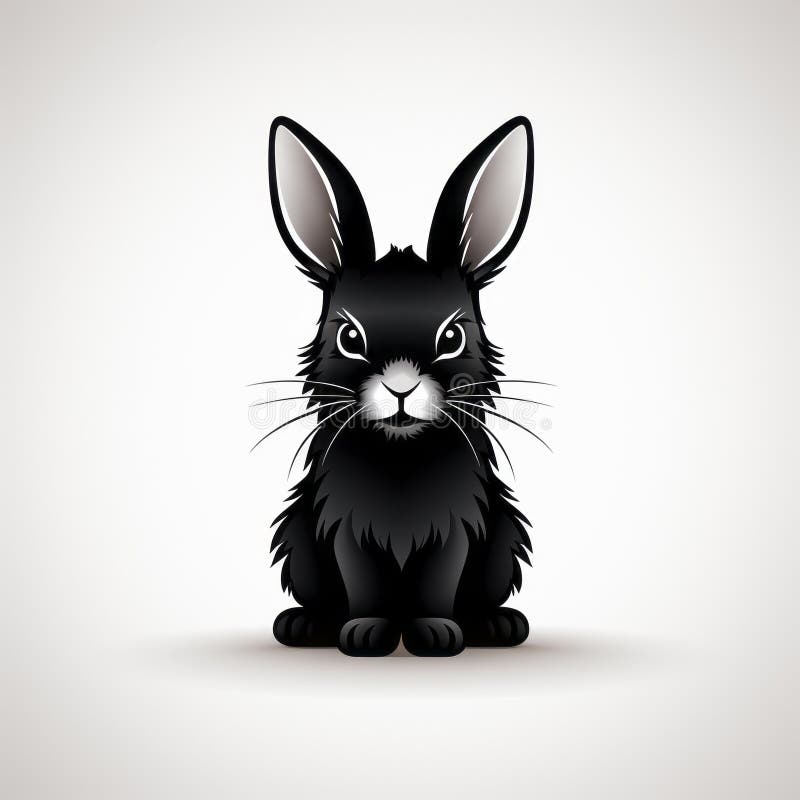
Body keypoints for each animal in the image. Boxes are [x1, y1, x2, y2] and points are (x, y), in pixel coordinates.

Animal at [258, 115, 547, 657]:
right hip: (299, 541)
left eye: (453, 337)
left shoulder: (457, 526)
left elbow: (439, 580)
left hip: (503, 541)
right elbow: (363, 581)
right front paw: (365, 635)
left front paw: (436, 635)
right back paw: (304, 626)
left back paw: (496, 626)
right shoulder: (344, 526)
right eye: (349, 338)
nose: (401, 389)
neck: (401, 452)